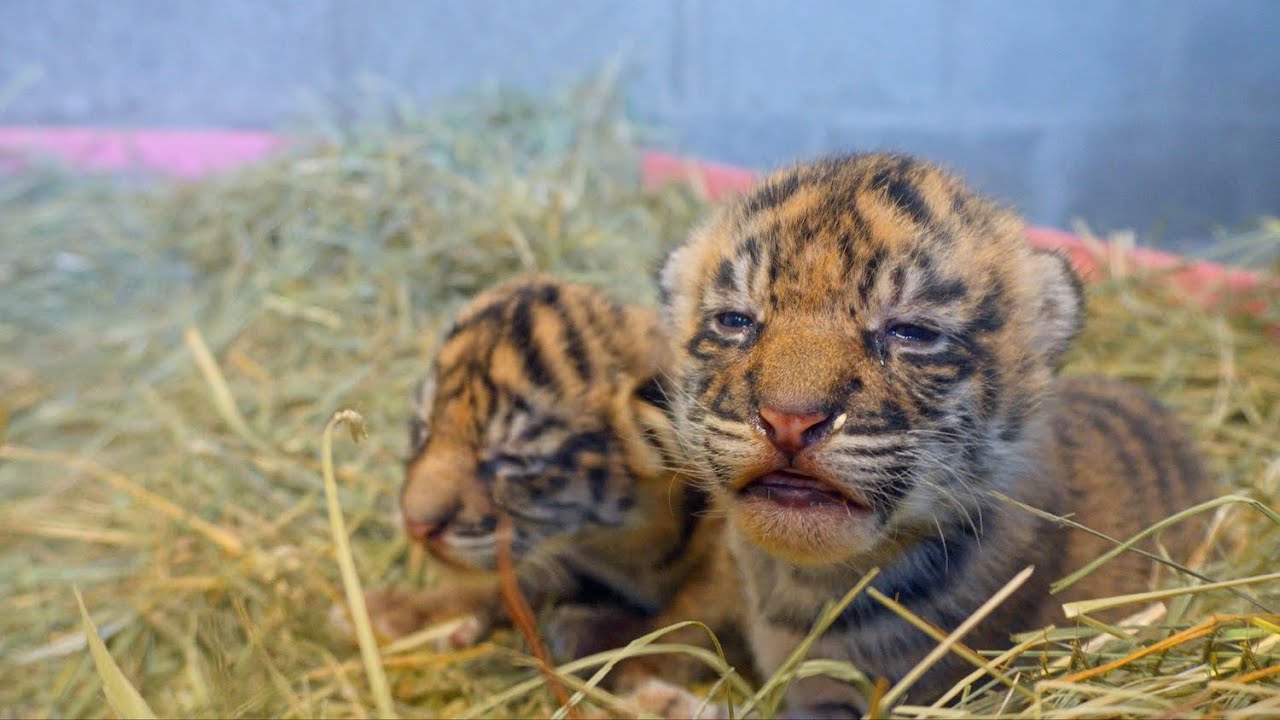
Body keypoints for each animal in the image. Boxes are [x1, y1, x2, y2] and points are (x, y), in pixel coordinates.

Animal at [364, 274, 738, 677]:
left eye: (511, 458)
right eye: (423, 428)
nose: (416, 527)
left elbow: (693, 615)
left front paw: (614, 651)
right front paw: (398, 610)